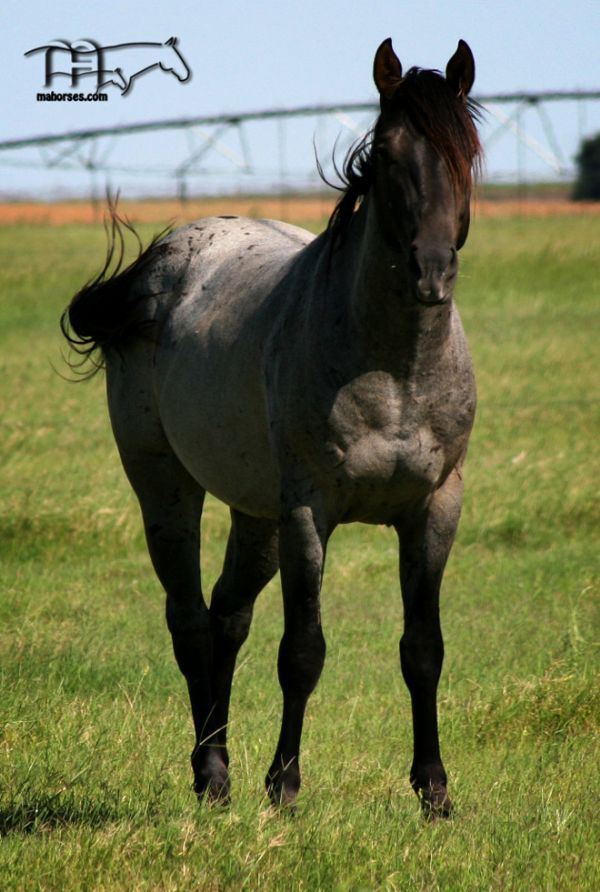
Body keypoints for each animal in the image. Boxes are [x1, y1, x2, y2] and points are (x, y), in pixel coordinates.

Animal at [61, 38, 482, 818]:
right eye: (387, 154)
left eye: (467, 151)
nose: (432, 274)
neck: (395, 369)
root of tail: (161, 263)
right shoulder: (309, 515)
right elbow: (303, 651)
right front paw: (284, 785)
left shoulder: (435, 509)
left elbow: (423, 649)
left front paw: (434, 791)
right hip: (166, 487)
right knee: (190, 620)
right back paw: (210, 773)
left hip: (255, 512)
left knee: (228, 616)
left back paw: (219, 767)